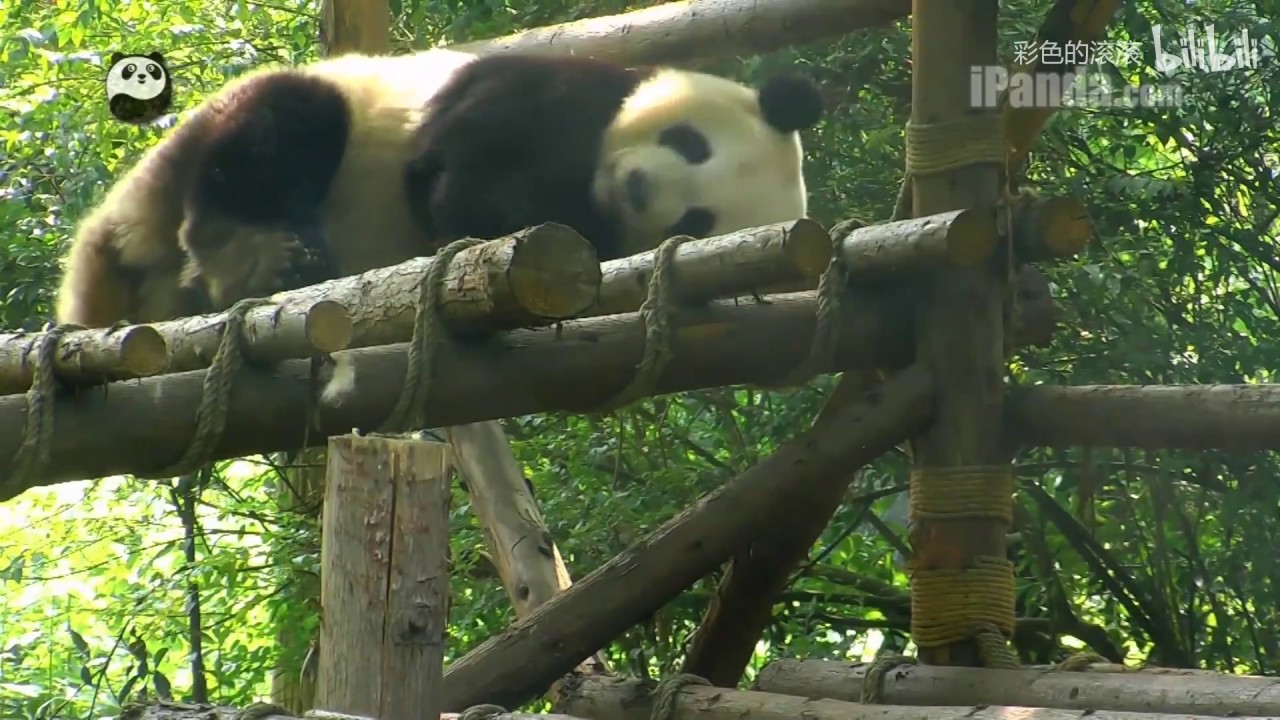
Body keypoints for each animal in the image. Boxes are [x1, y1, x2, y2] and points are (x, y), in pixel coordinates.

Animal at [54, 49, 824, 329]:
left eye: (694, 221)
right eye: (691, 144)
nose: (637, 189)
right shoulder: (545, 90)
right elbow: (456, 162)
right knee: (277, 130)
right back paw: (253, 250)